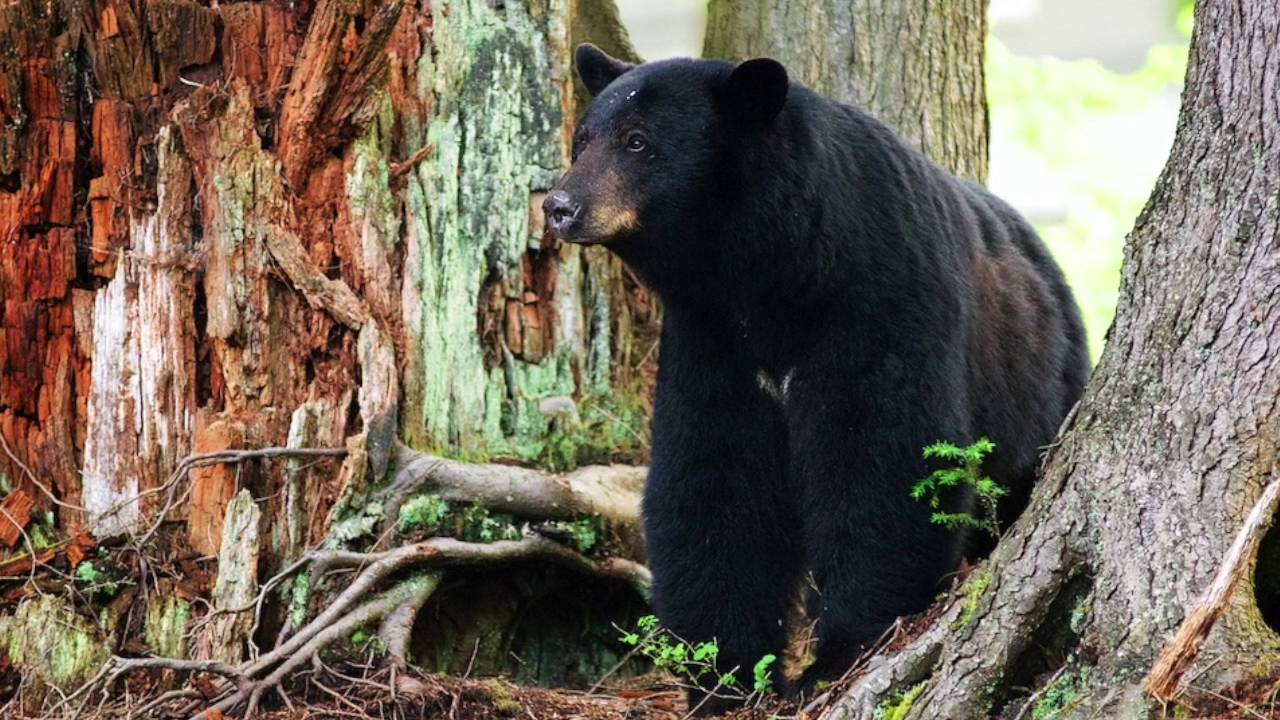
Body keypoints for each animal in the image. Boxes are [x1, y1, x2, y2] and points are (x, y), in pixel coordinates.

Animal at [543, 44, 1090, 709]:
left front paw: (837, 656)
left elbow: (880, 458)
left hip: (1040, 387)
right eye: (583, 139)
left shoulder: (877, 298)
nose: (559, 207)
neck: (772, 276)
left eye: (638, 140)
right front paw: (726, 672)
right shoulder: (711, 344)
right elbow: (714, 478)